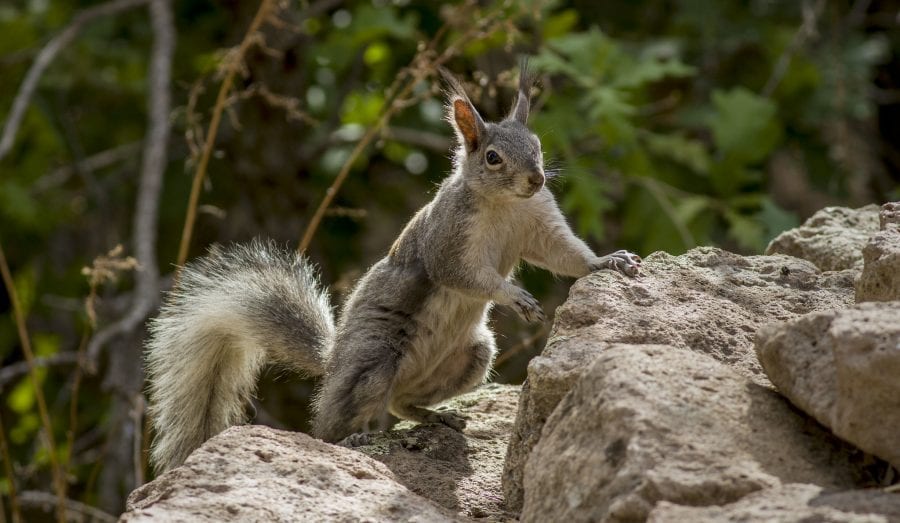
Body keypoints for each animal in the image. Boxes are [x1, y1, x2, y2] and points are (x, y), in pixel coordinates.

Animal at [145, 64, 642, 473]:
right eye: (492, 157)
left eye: (537, 145)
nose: (536, 179)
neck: (505, 206)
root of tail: (332, 362)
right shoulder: (446, 242)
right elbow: (463, 275)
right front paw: (513, 295)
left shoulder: (539, 223)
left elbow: (566, 255)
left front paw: (609, 260)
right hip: (375, 363)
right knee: (330, 428)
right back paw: (355, 437)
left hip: (473, 356)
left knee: (402, 404)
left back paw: (437, 417)